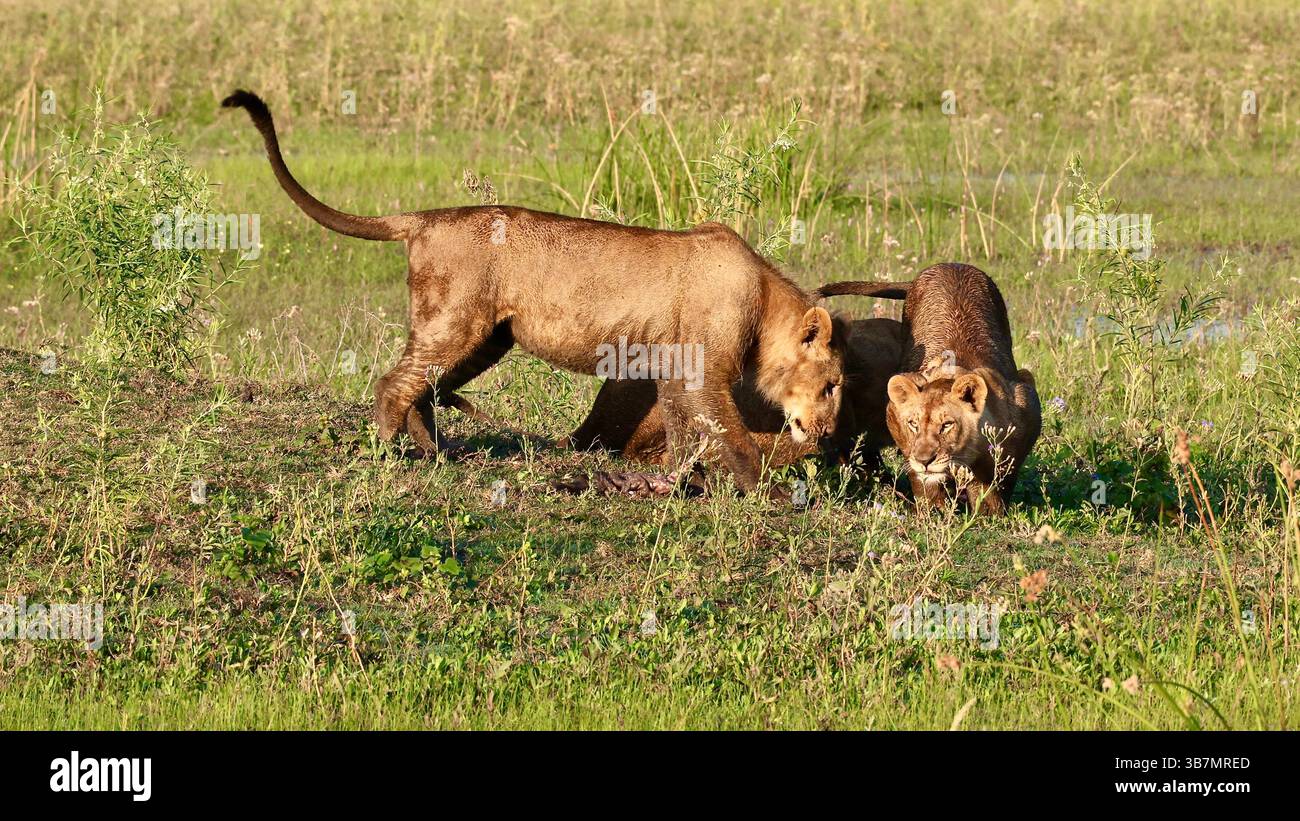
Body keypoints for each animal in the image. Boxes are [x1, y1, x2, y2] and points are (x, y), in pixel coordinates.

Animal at [223, 90, 847, 491]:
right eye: (832, 385)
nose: (828, 430)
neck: (764, 296)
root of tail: (427, 217)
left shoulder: (674, 367)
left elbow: (684, 428)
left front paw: (685, 479)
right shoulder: (701, 364)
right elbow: (728, 433)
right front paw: (763, 488)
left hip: (487, 339)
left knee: (424, 388)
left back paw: (435, 453)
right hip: (456, 323)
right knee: (393, 384)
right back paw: (396, 455)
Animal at [817, 264, 1040, 514]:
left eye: (947, 425)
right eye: (913, 424)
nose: (924, 460)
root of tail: (951, 264)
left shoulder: (1025, 399)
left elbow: (996, 480)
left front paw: (990, 512)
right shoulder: (894, 412)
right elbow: (923, 481)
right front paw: (934, 510)